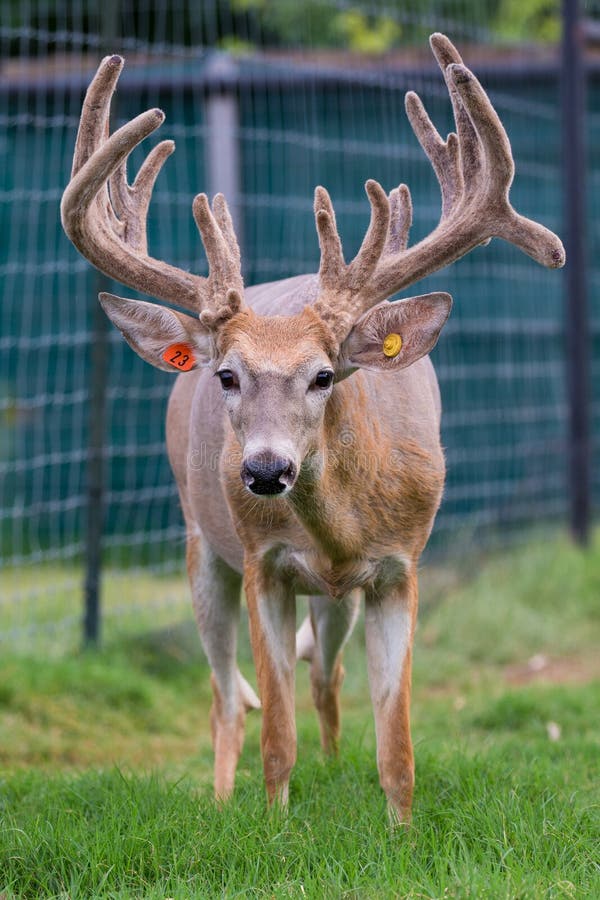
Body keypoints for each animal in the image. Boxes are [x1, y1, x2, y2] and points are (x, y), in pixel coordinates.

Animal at [61, 33, 564, 823]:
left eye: (324, 377)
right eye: (227, 376)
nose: (265, 470)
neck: (340, 526)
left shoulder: (399, 567)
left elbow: (396, 743)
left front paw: (400, 830)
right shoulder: (261, 563)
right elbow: (277, 731)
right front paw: (273, 825)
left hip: (333, 601)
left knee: (326, 679)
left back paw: (330, 766)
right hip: (202, 546)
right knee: (228, 699)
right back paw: (221, 800)